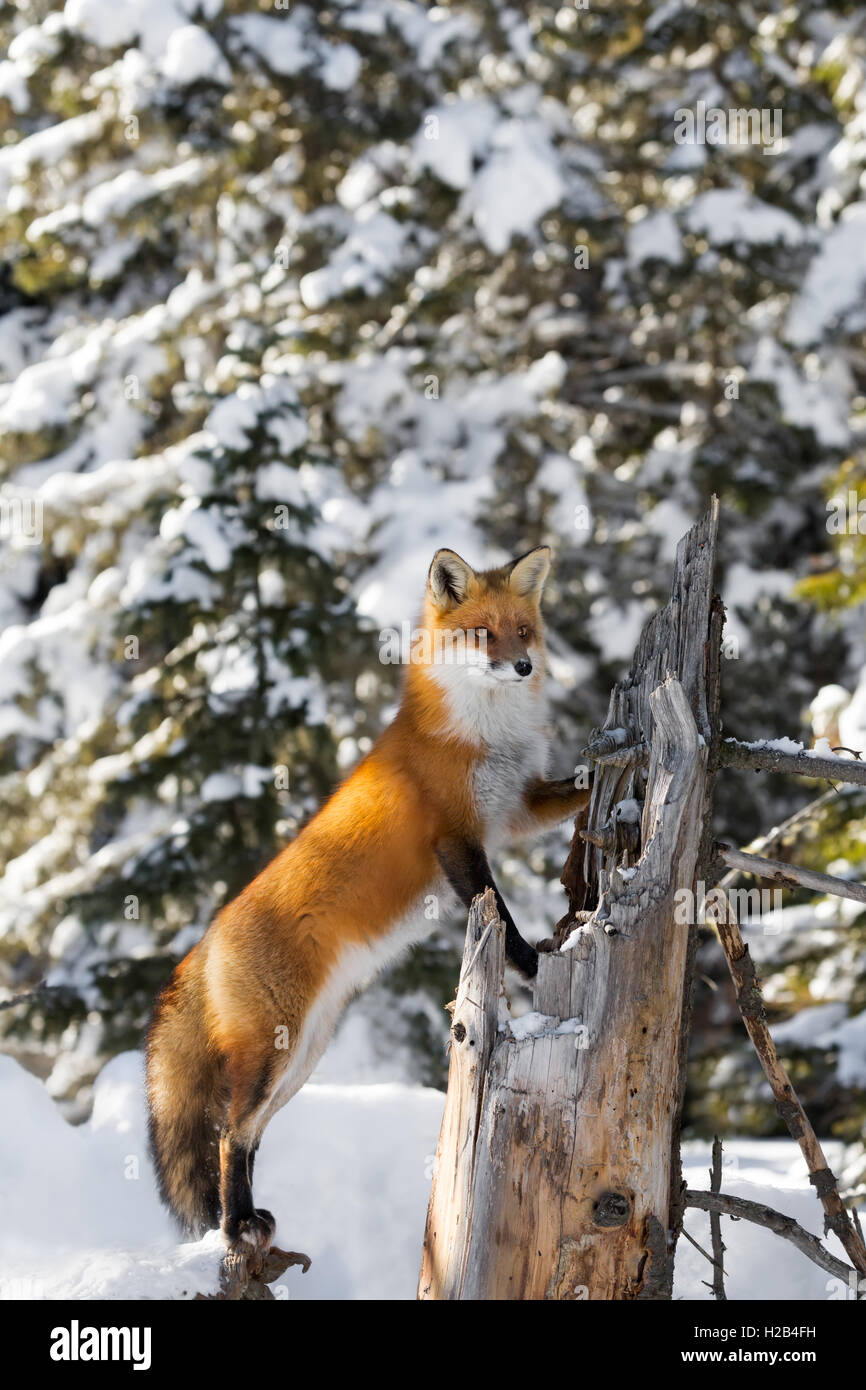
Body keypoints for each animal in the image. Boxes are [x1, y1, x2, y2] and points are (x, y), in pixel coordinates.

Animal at [145, 544, 591, 1266]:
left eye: (523, 631)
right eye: (482, 633)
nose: (523, 666)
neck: (482, 733)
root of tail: (205, 941)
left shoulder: (517, 810)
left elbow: (578, 783)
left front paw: (629, 754)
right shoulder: (456, 839)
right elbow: (498, 911)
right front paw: (529, 964)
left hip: (301, 1057)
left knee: (248, 1137)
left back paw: (246, 1220)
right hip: (276, 1054)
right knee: (227, 1136)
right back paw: (235, 1228)